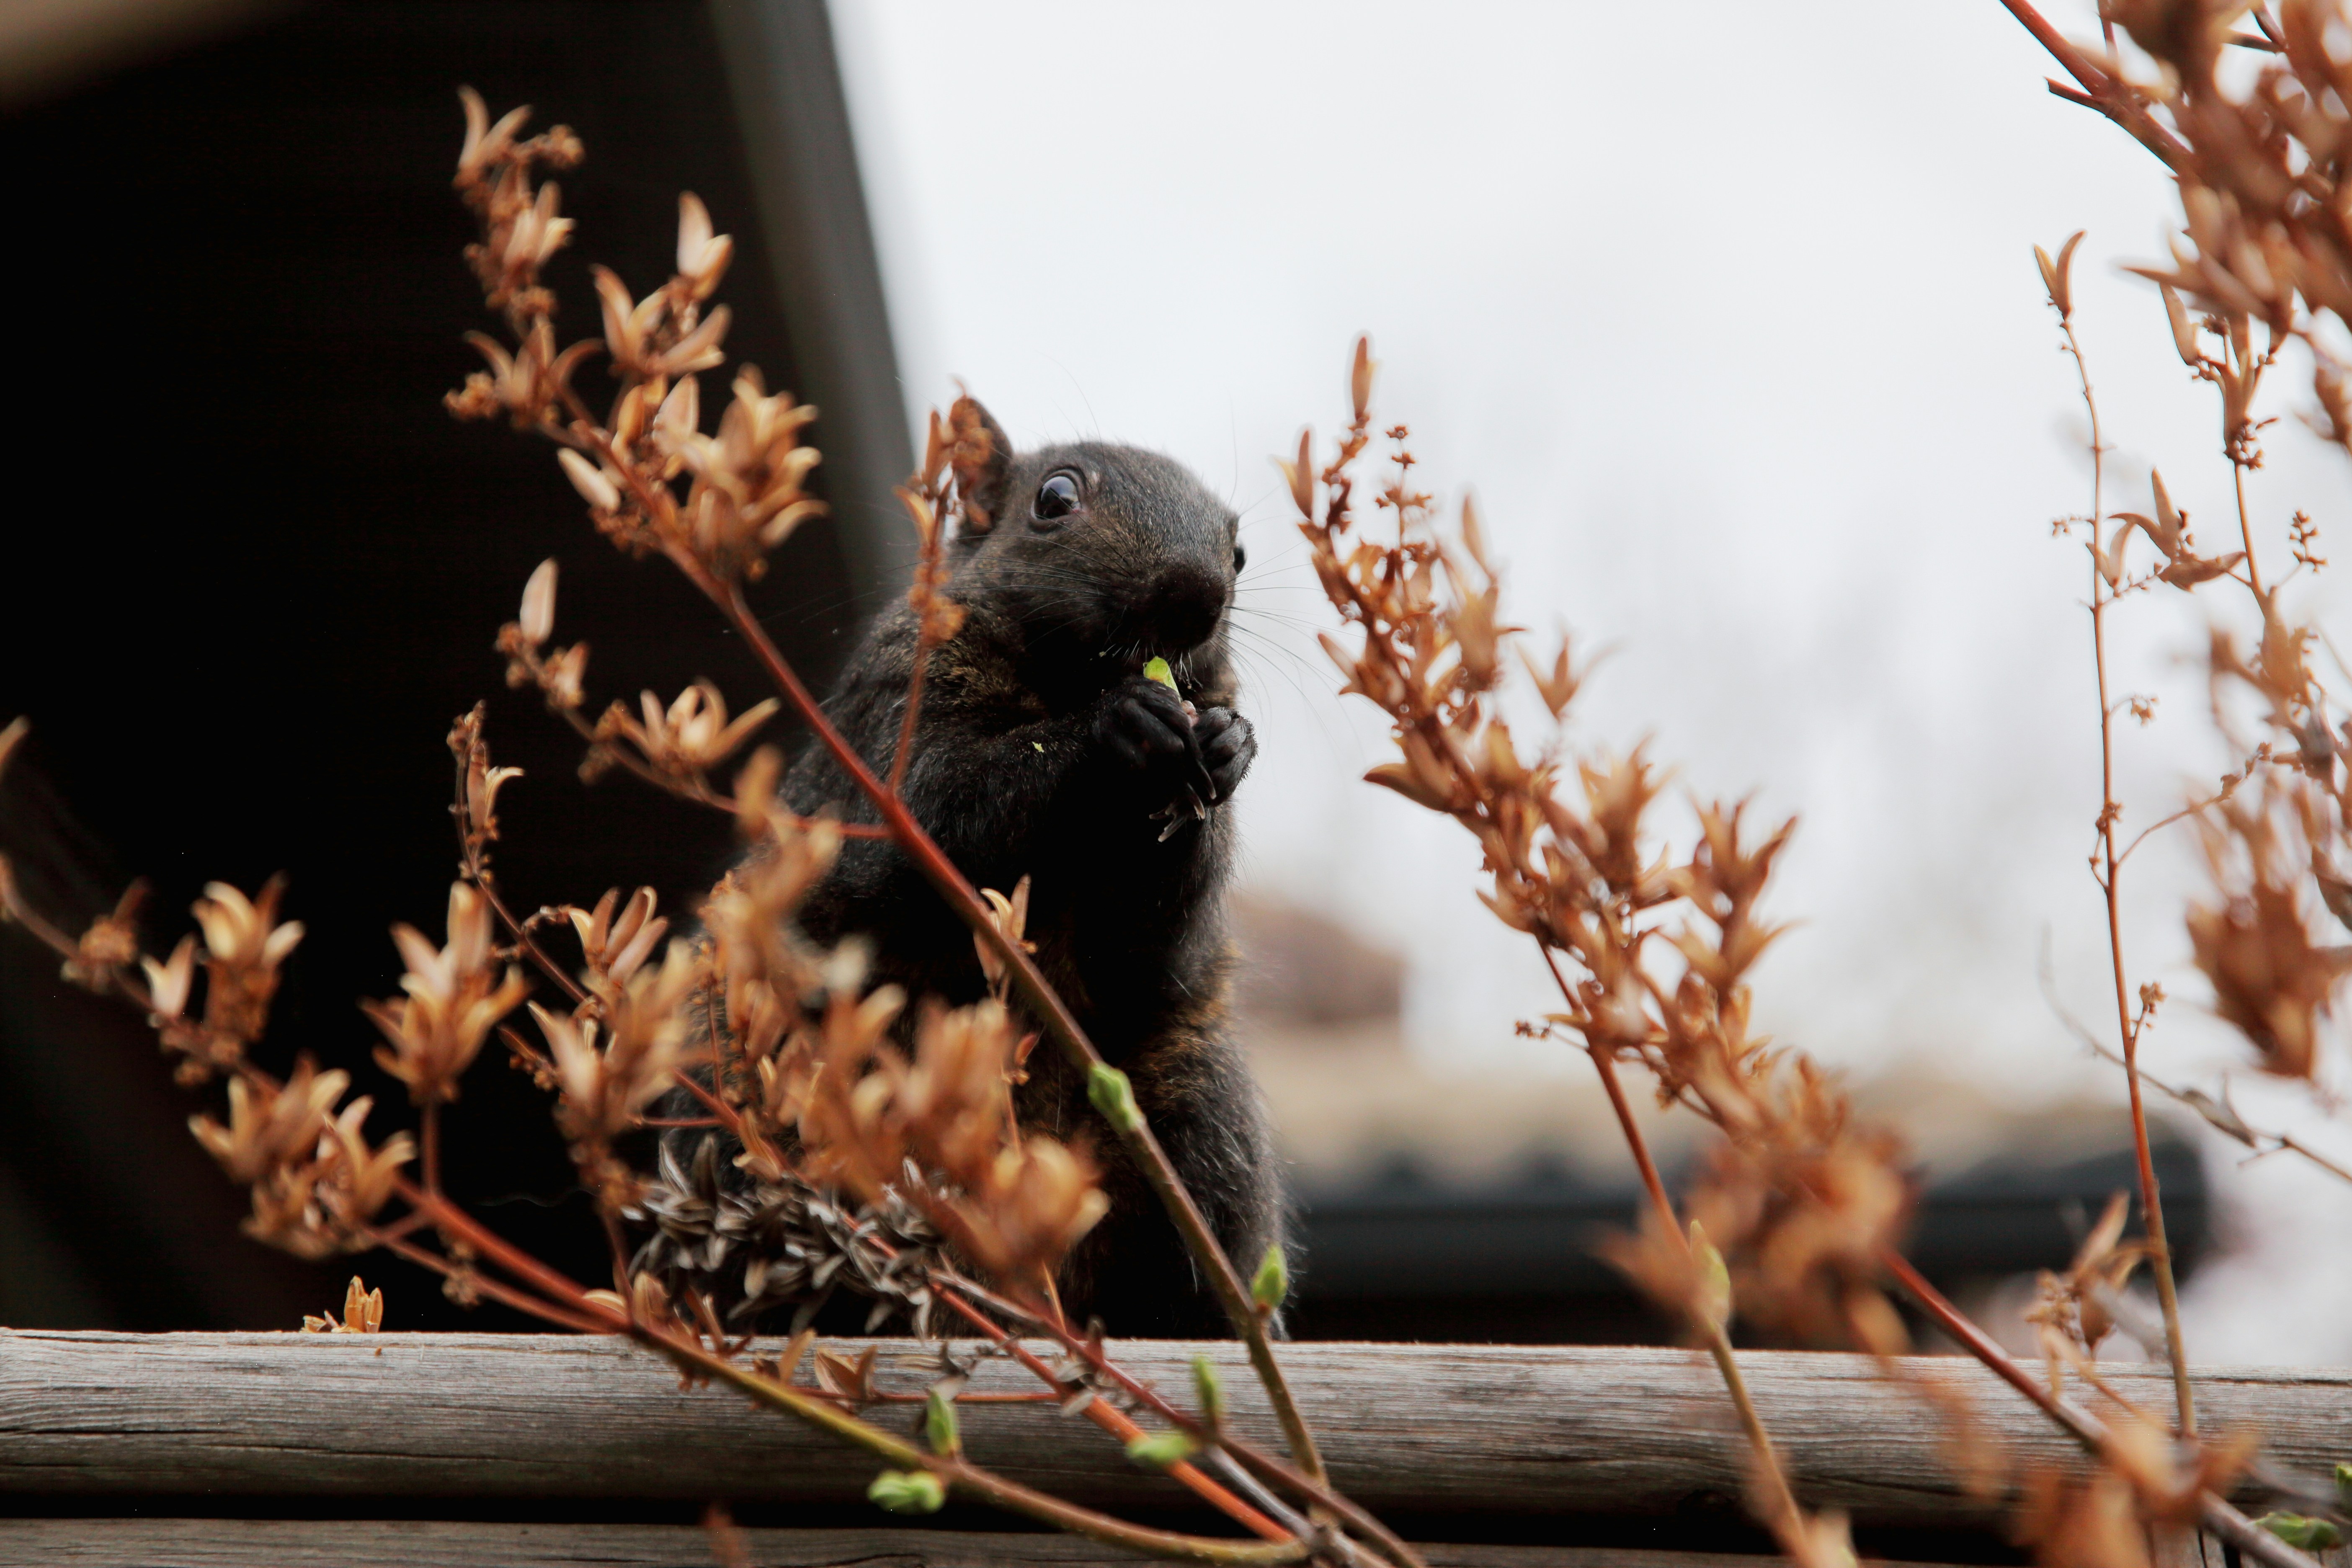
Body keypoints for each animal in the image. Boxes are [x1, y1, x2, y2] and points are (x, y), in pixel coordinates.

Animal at [661, 401, 1285, 1338]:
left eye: (1239, 553)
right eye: (1054, 498)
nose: (1196, 595)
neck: (1062, 678)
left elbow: (1154, 948)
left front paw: (1224, 743)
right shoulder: (886, 732)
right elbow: (938, 817)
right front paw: (1115, 727)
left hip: (1195, 1115)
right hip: (755, 1103)